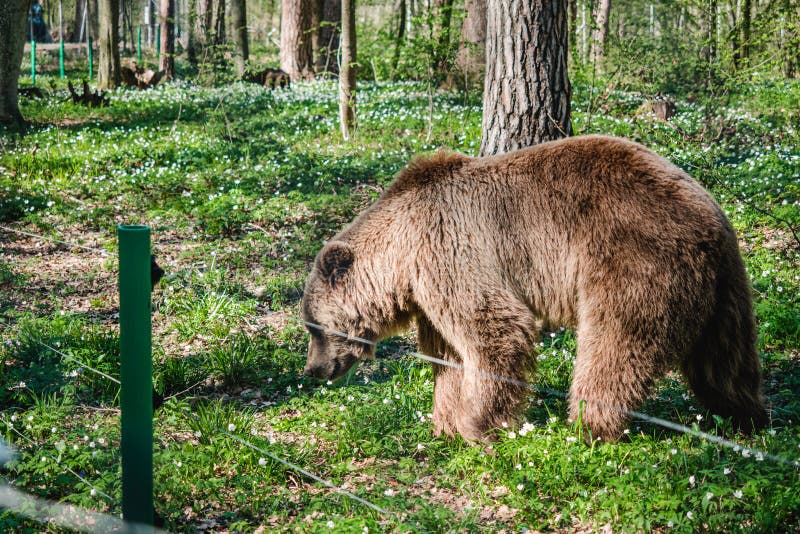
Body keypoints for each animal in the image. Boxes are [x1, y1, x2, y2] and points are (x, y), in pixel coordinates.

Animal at [301, 135, 767, 441]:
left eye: (314, 327)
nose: (313, 370)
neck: (400, 255)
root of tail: (711, 215)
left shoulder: (449, 251)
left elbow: (495, 331)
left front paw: (478, 426)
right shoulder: (431, 292)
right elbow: (448, 356)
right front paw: (444, 423)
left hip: (633, 262)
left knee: (612, 347)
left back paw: (588, 426)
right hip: (725, 288)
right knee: (725, 360)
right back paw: (747, 419)